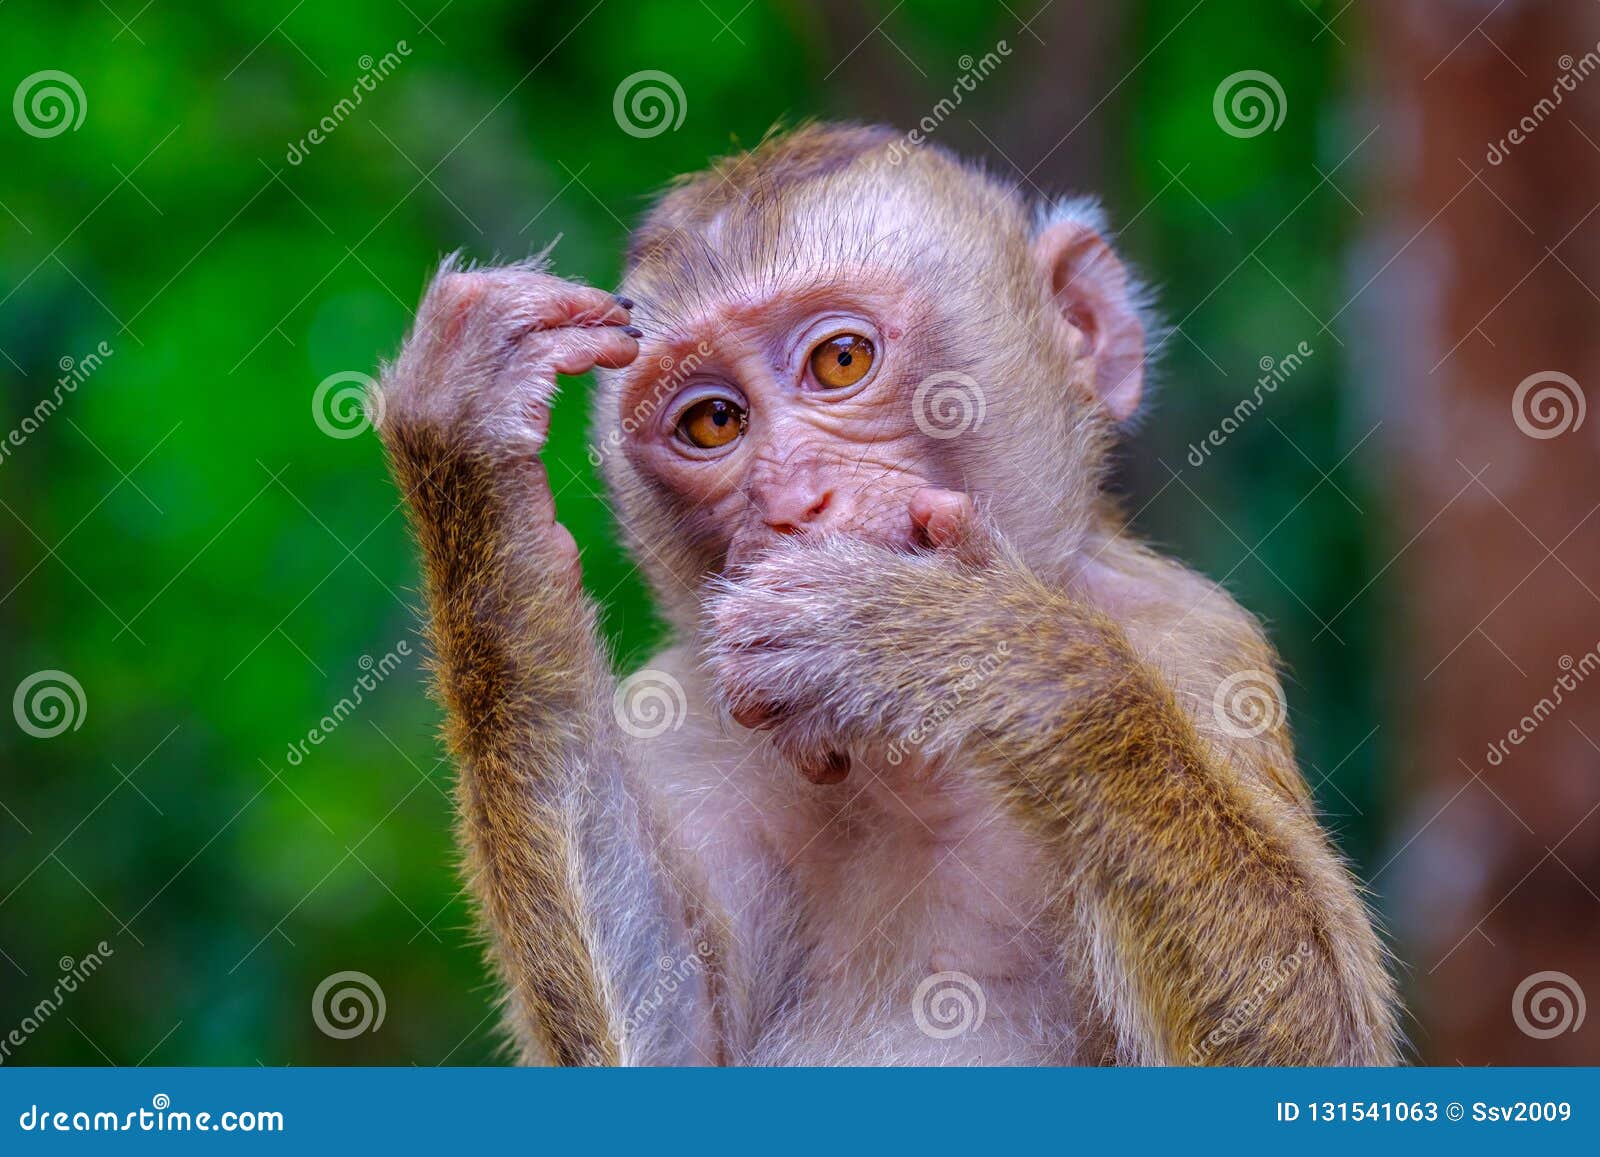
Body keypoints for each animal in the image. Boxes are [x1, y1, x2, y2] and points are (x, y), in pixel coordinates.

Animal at [374, 122, 1401, 1066]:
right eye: (712, 422)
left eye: (840, 361)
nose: (792, 502)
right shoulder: (682, 715)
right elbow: (671, 1048)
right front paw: (471, 457)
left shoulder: (1197, 642)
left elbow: (1316, 1035)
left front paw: (951, 640)